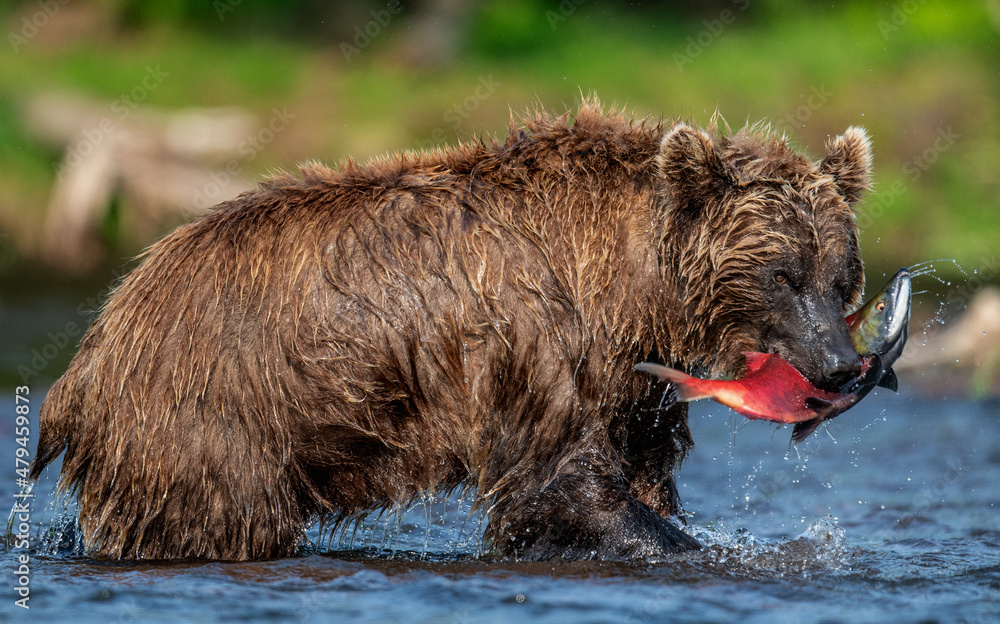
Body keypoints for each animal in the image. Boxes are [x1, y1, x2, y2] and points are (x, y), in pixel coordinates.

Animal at [30, 100, 872, 561]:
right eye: (781, 275)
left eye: (840, 276)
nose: (840, 365)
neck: (628, 289)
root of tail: (94, 346)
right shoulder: (533, 348)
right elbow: (559, 487)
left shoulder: (631, 385)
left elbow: (637, 476)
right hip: (213, 421)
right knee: (225, 521)